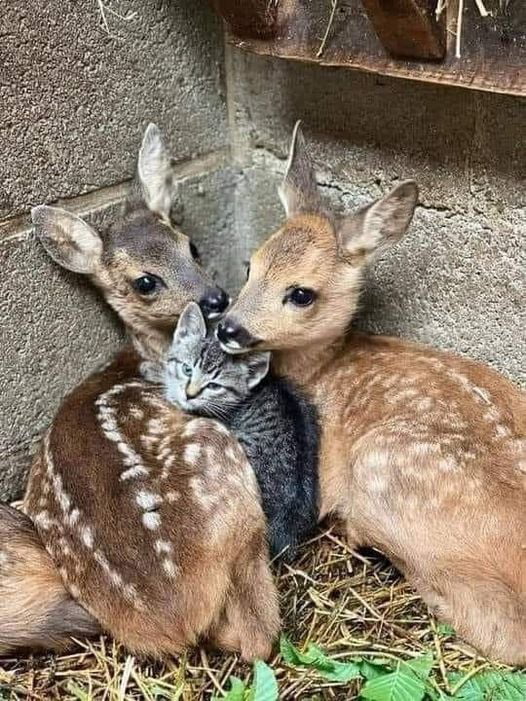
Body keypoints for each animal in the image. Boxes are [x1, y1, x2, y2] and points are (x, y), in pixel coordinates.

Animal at [0, 124, 280, 660]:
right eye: (145, 282)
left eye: (191, 247)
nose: (215, 298)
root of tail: (171, 616)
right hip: (221, 462)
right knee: (256, 634)